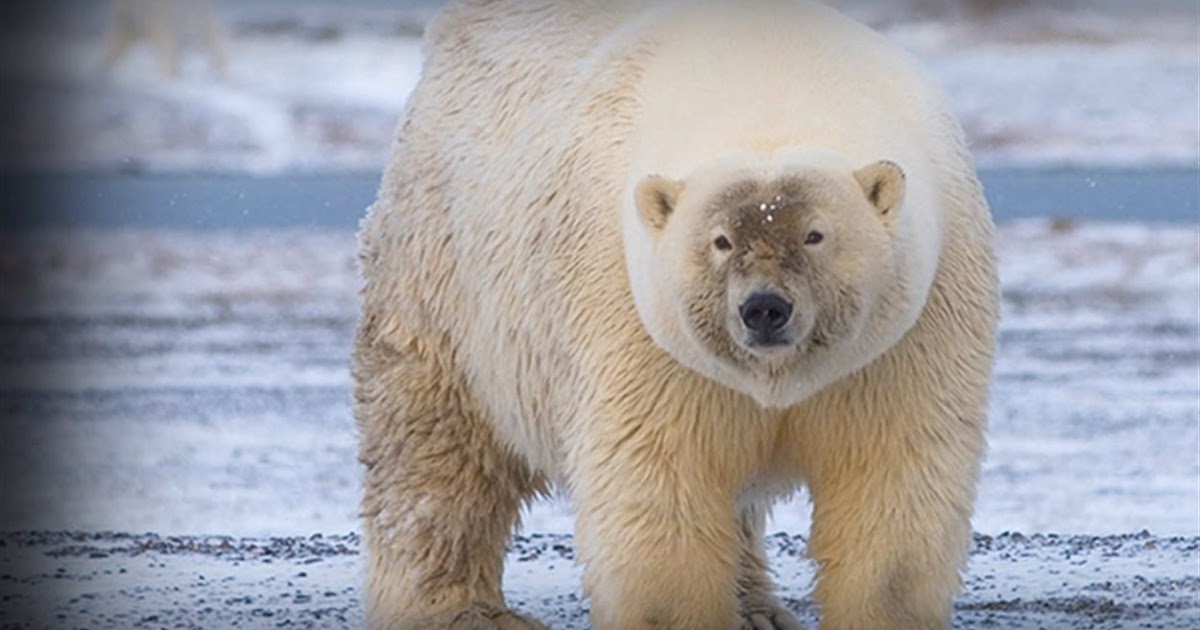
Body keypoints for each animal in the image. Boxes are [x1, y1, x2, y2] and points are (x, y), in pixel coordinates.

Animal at [354, 1, 998, 629]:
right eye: (720, 241)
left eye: (815, 235)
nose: (765, 309)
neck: (772, 91)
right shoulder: (637, 323)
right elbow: (663, 485)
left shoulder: (904, 335)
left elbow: (894, 480)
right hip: (449, 270)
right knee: (435, 444)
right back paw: (460, 610)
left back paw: (757, 610)